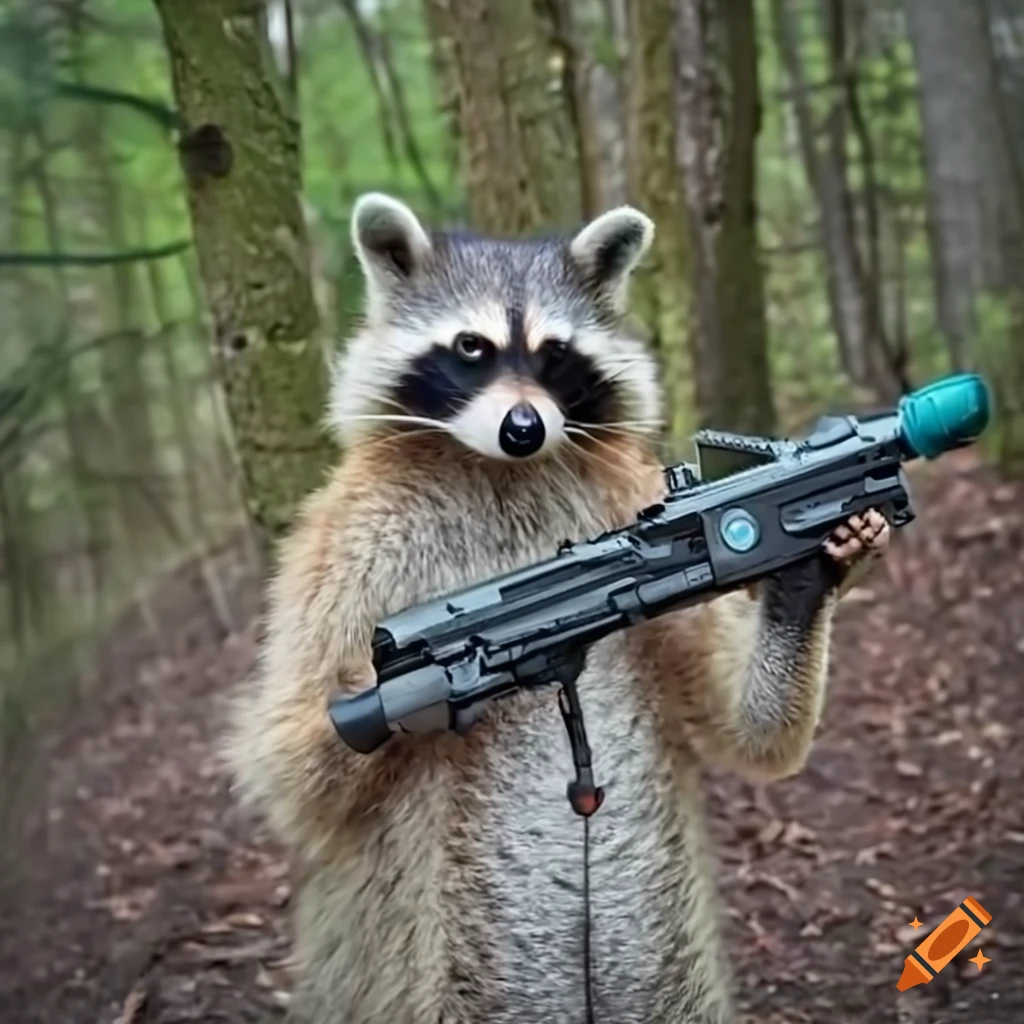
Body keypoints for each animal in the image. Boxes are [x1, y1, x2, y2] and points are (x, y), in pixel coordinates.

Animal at [225, 193, 889, 1024]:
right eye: (471, 347)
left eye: (553, 354)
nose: (524, 428)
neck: (504, 470)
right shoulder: (353, 539)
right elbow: (287, 770)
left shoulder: (630, 495)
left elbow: (737, 726)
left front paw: (815, 573)